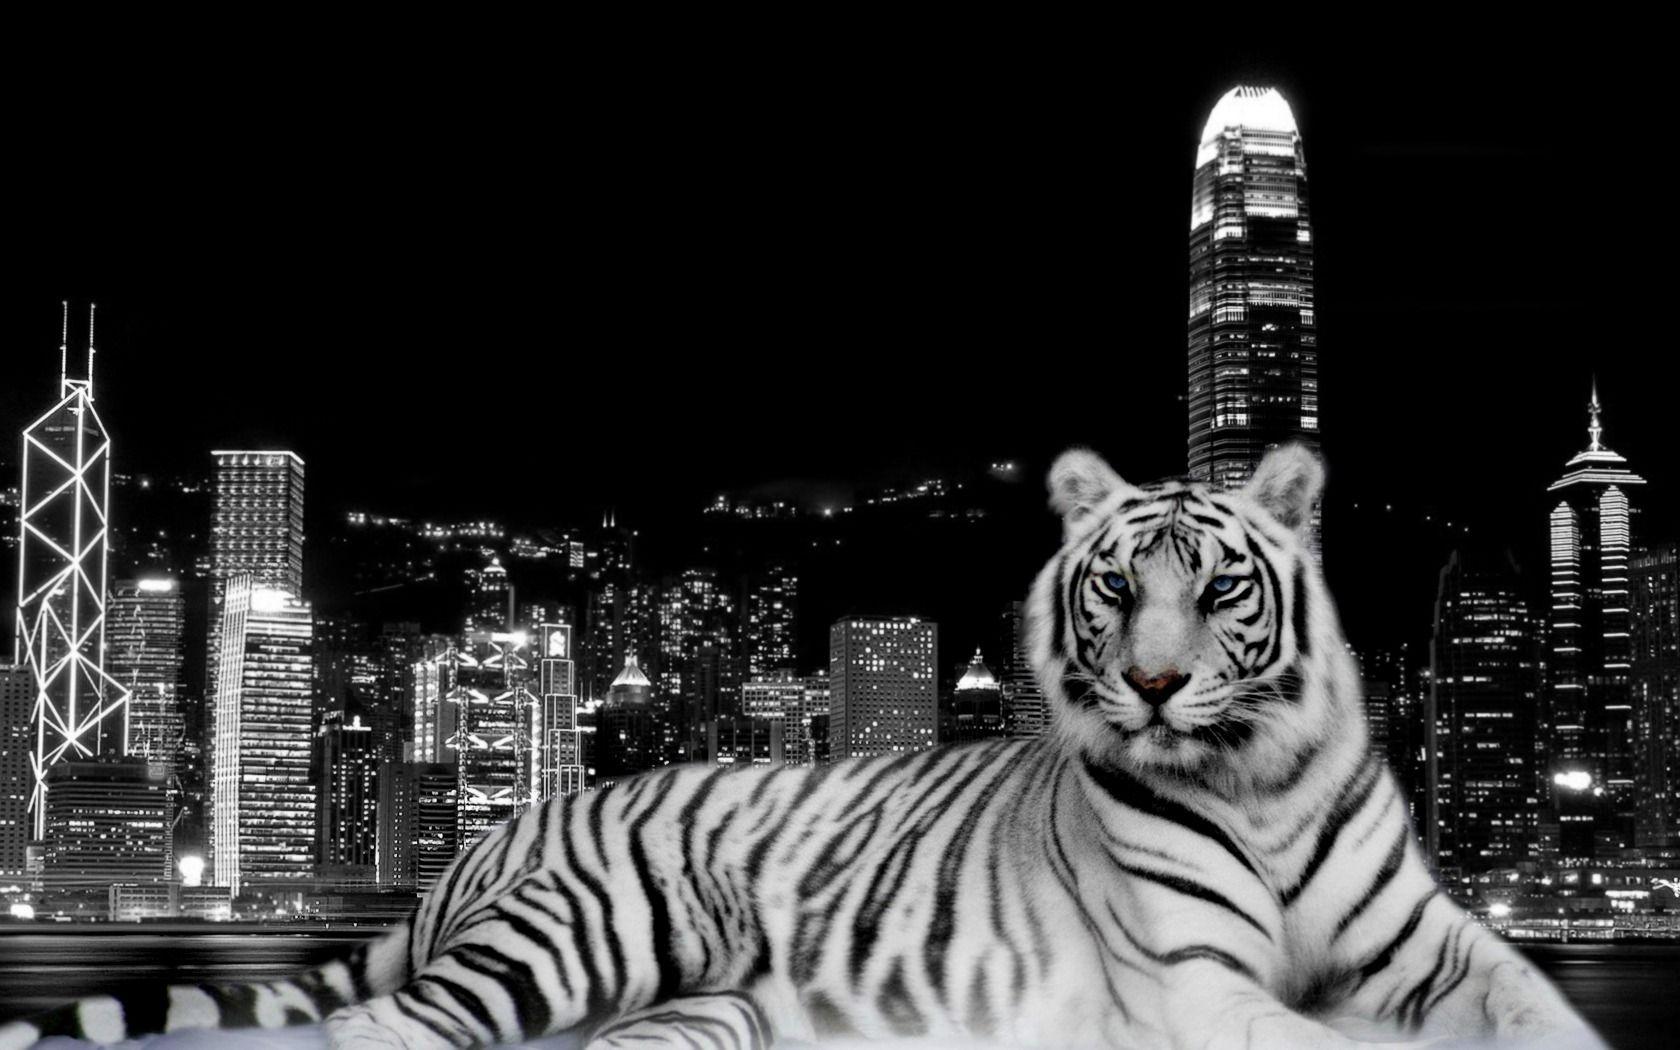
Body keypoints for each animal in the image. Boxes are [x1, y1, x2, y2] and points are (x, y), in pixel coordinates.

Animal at [0, 444, 1603, 1050]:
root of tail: (499, 829)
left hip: (715, 1009)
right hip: (587, 932)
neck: (1259, 782)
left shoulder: (1445, 948)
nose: (1152, 687)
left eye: (1216, 589)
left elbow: (1543, 1015)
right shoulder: (1197, 981)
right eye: (1111, 588)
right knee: (380, 1033)